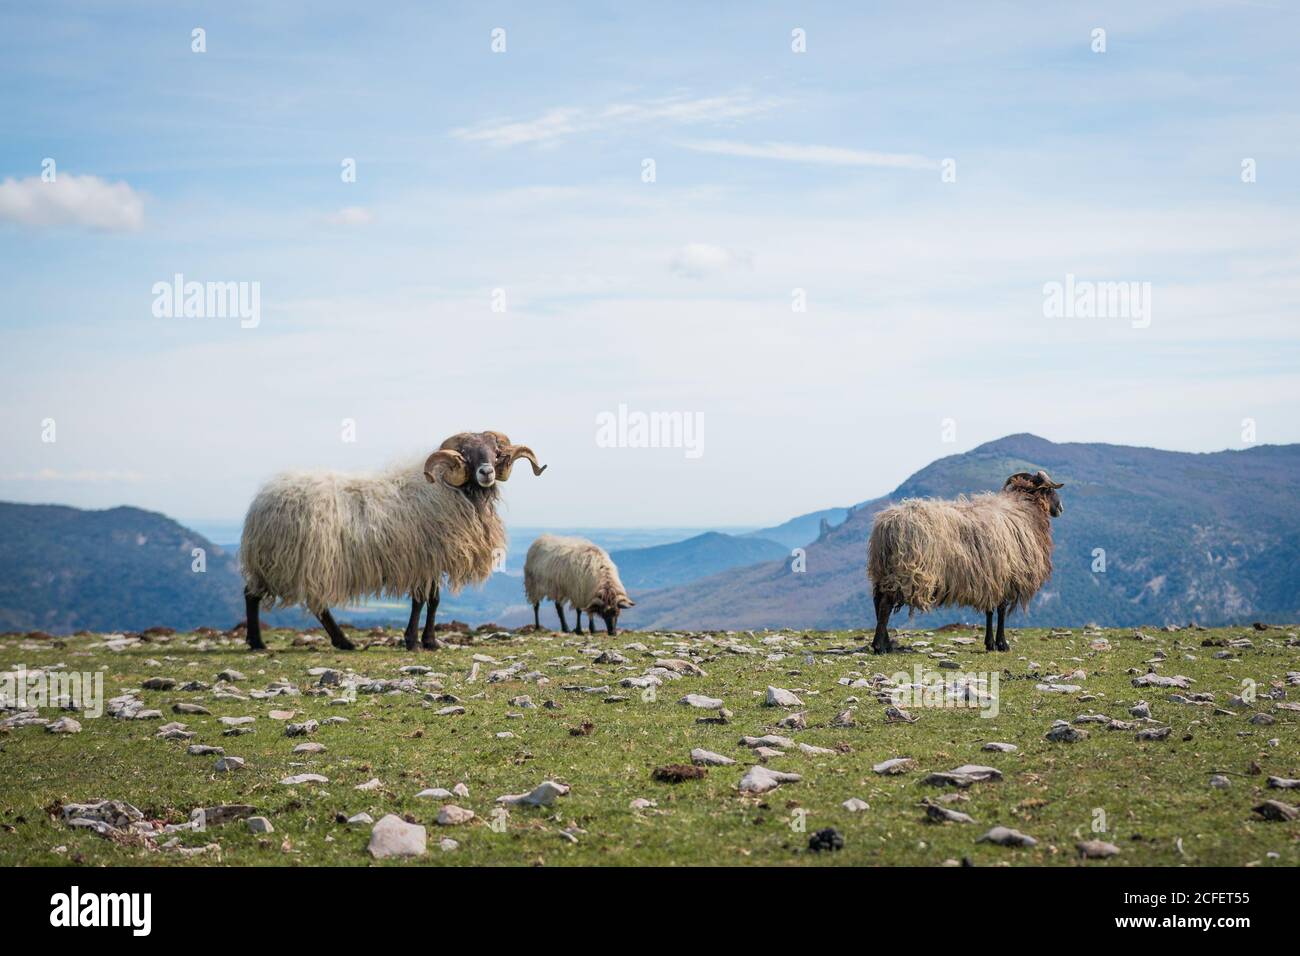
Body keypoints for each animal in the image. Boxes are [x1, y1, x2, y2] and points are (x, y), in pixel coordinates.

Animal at [239, 431, 545, 651]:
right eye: (466, 455)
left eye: (495, 453)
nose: (486, 472)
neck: (449, 491)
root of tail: (262, 503)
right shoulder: (423, 559)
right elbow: (421, 602)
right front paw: (415, 641)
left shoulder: (430, 561)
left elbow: (433, 601)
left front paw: (429, 641)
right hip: (297, 559)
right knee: (300, 602)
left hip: (278, 560)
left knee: (259, 595)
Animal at [867, 470, 1064, 654]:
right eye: (1049, 490)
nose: (1061, 508)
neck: (1024, 511)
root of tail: (887, 525)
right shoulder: (1006, 577)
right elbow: (1000, 610)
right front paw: (1002, 644)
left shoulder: (991, 578)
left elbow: (989, 610)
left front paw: (990, 644)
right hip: (905, 570)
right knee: (885, 604)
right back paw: (879, 647)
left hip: (882, 570)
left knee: (878, 602)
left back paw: (886, 644)